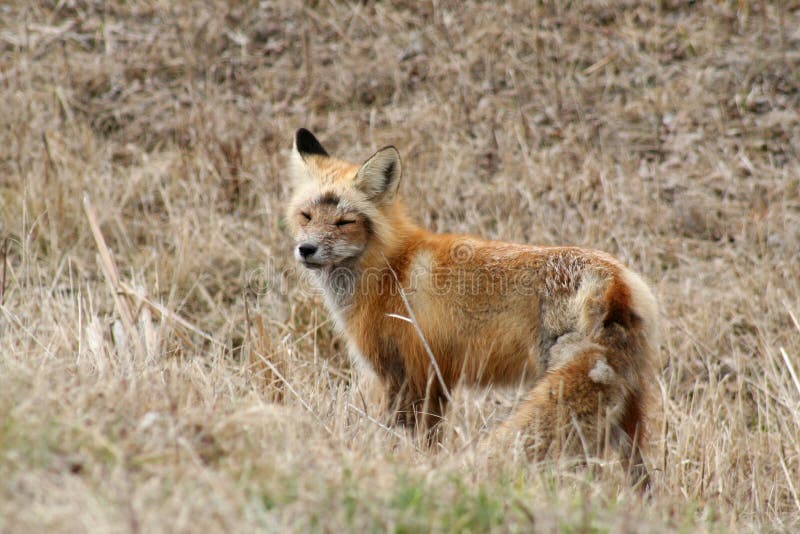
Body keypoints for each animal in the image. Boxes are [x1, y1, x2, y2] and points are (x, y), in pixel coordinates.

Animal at [287, 128, 659, 483]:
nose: (306, 249)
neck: (391, 266)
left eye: (344, 221)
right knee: (640, 471)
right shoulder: (428, 378)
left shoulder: (414, 375)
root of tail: (613, 281)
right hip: (627, 405)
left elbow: (411, 439)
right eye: (306, 216)